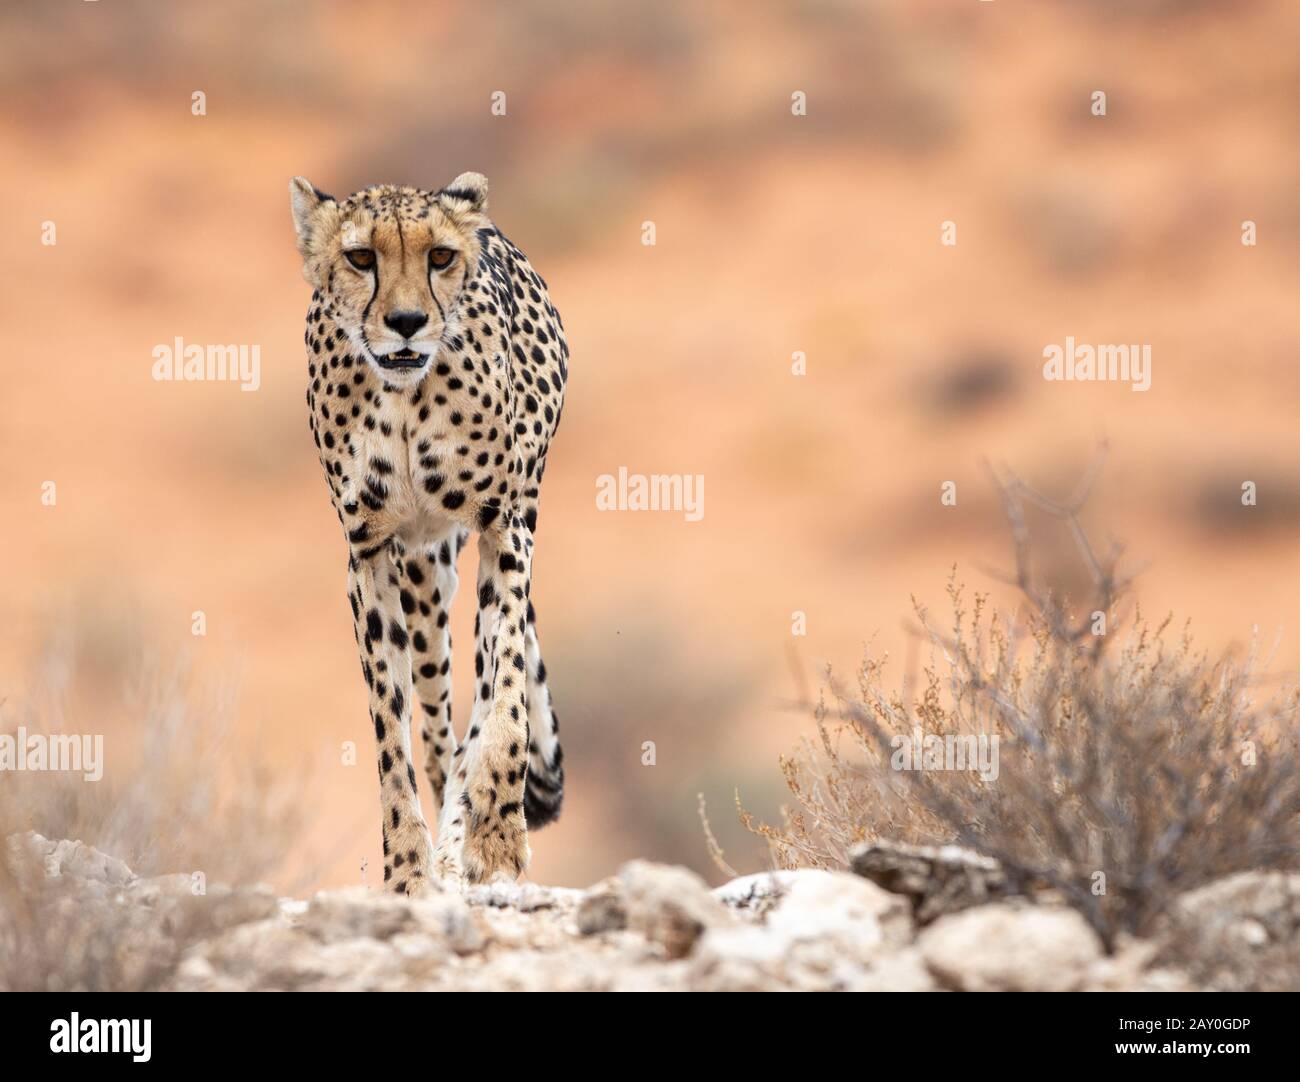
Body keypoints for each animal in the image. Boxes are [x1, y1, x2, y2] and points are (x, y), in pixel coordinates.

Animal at [289, 172, 567, 891]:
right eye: (361, 258)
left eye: (440, 256)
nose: (408, 323)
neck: (406, 398)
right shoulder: (369, 553)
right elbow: (392, 731)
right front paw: (409, 871)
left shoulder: (505, 526)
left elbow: (506, 694)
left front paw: (495, 834)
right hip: (423, 572)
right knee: (439, 724)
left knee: (481, 696)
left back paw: (466, 832)